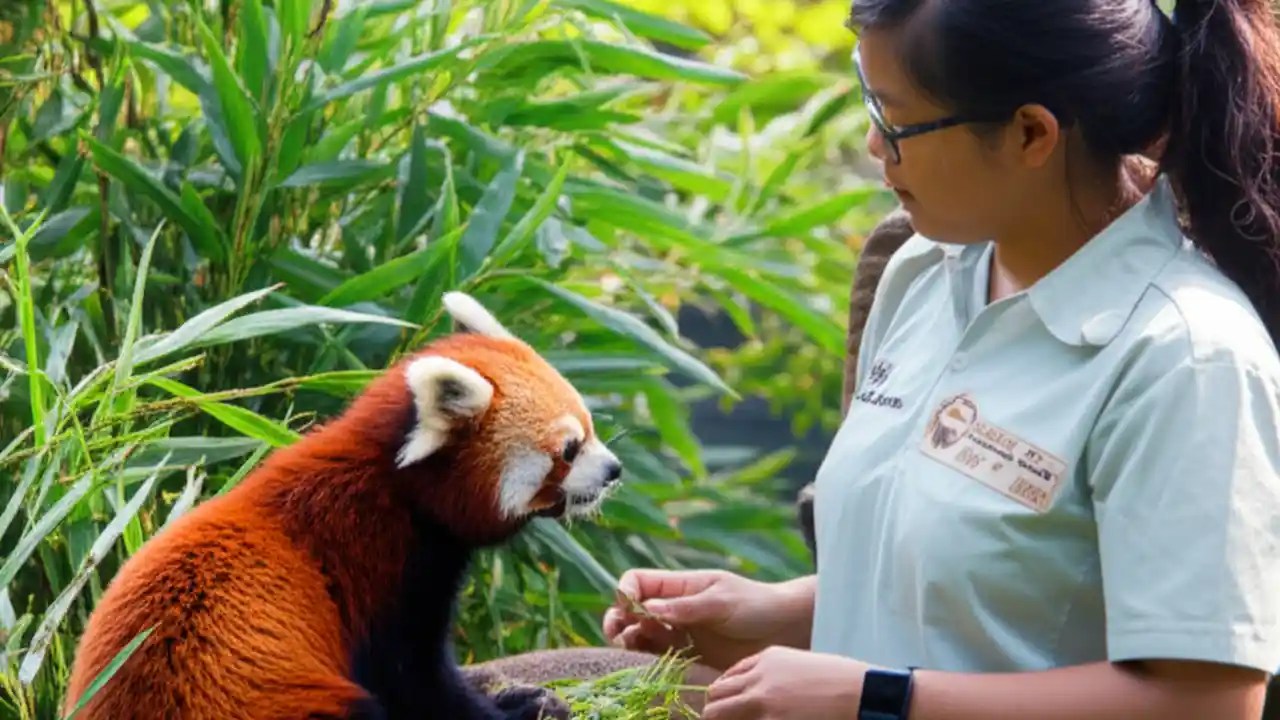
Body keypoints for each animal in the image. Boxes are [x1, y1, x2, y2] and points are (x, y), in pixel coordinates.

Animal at [63, 292, 622, 720]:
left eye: (590, 427)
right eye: (569, 449)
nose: (615, 470)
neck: (398, 488)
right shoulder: (376, 565)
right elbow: (412, 679)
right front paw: (514, 708)